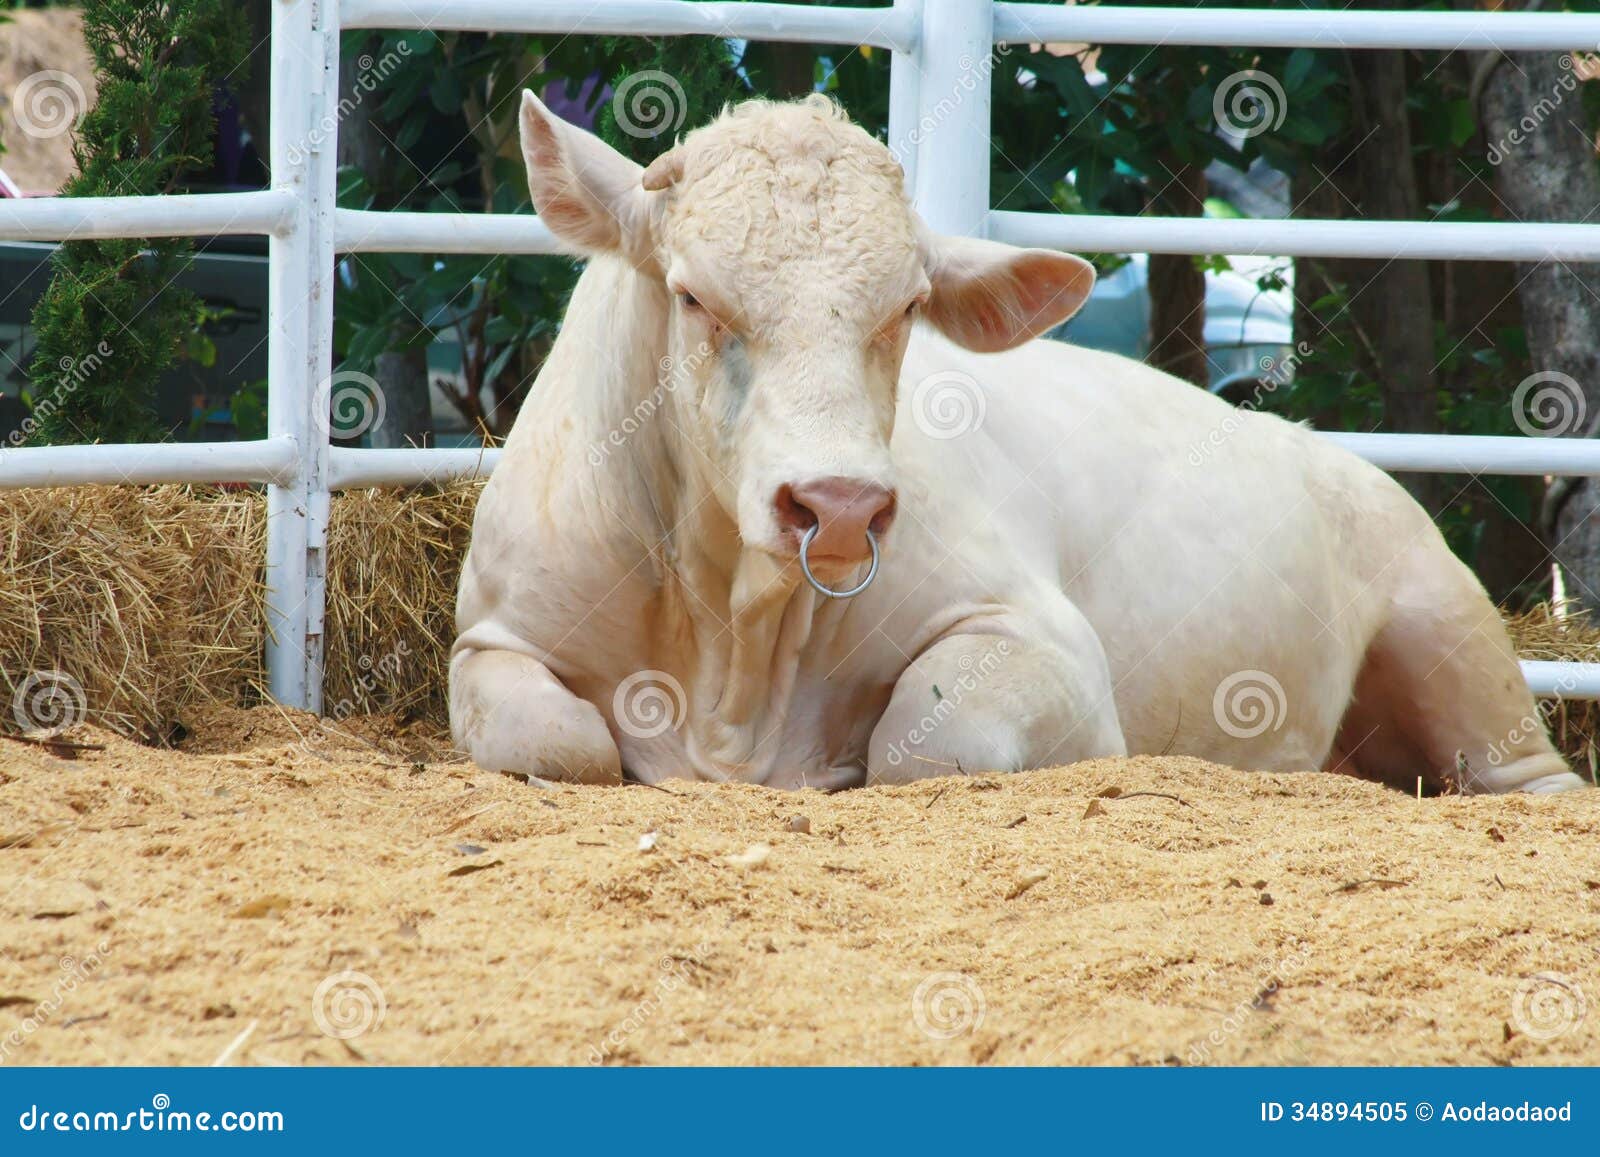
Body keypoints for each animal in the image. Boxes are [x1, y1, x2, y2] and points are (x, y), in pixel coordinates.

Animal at [449, 91, 1588, 796]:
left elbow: (929, 736)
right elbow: (565, 741)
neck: (733, 657)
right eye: (692, 296)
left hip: (1446, 623)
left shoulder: (1048, 646)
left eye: (906, 308)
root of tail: (1325, 450)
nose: (840, 506)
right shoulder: (491, 639)